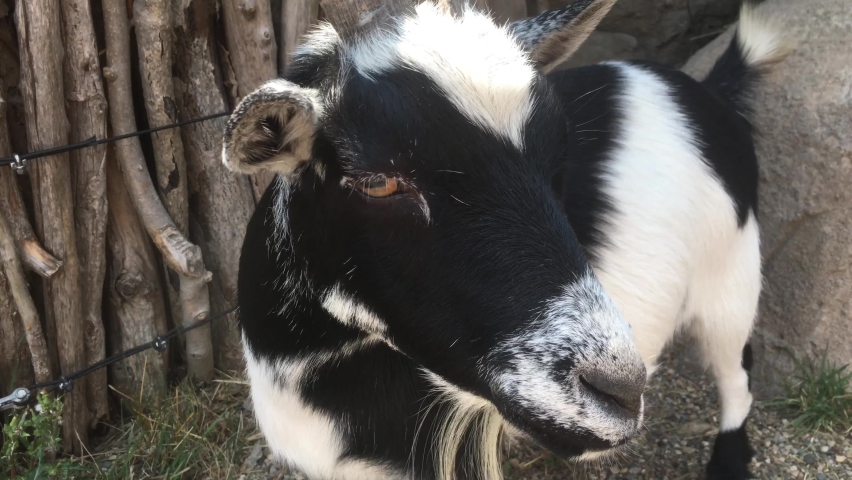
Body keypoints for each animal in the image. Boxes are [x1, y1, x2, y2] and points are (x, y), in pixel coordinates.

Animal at [222, 1, 790, 478]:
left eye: (559, 158)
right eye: (377, 181)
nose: (620, 391)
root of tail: (706, 90)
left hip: (731, 273)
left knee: (737, 372)